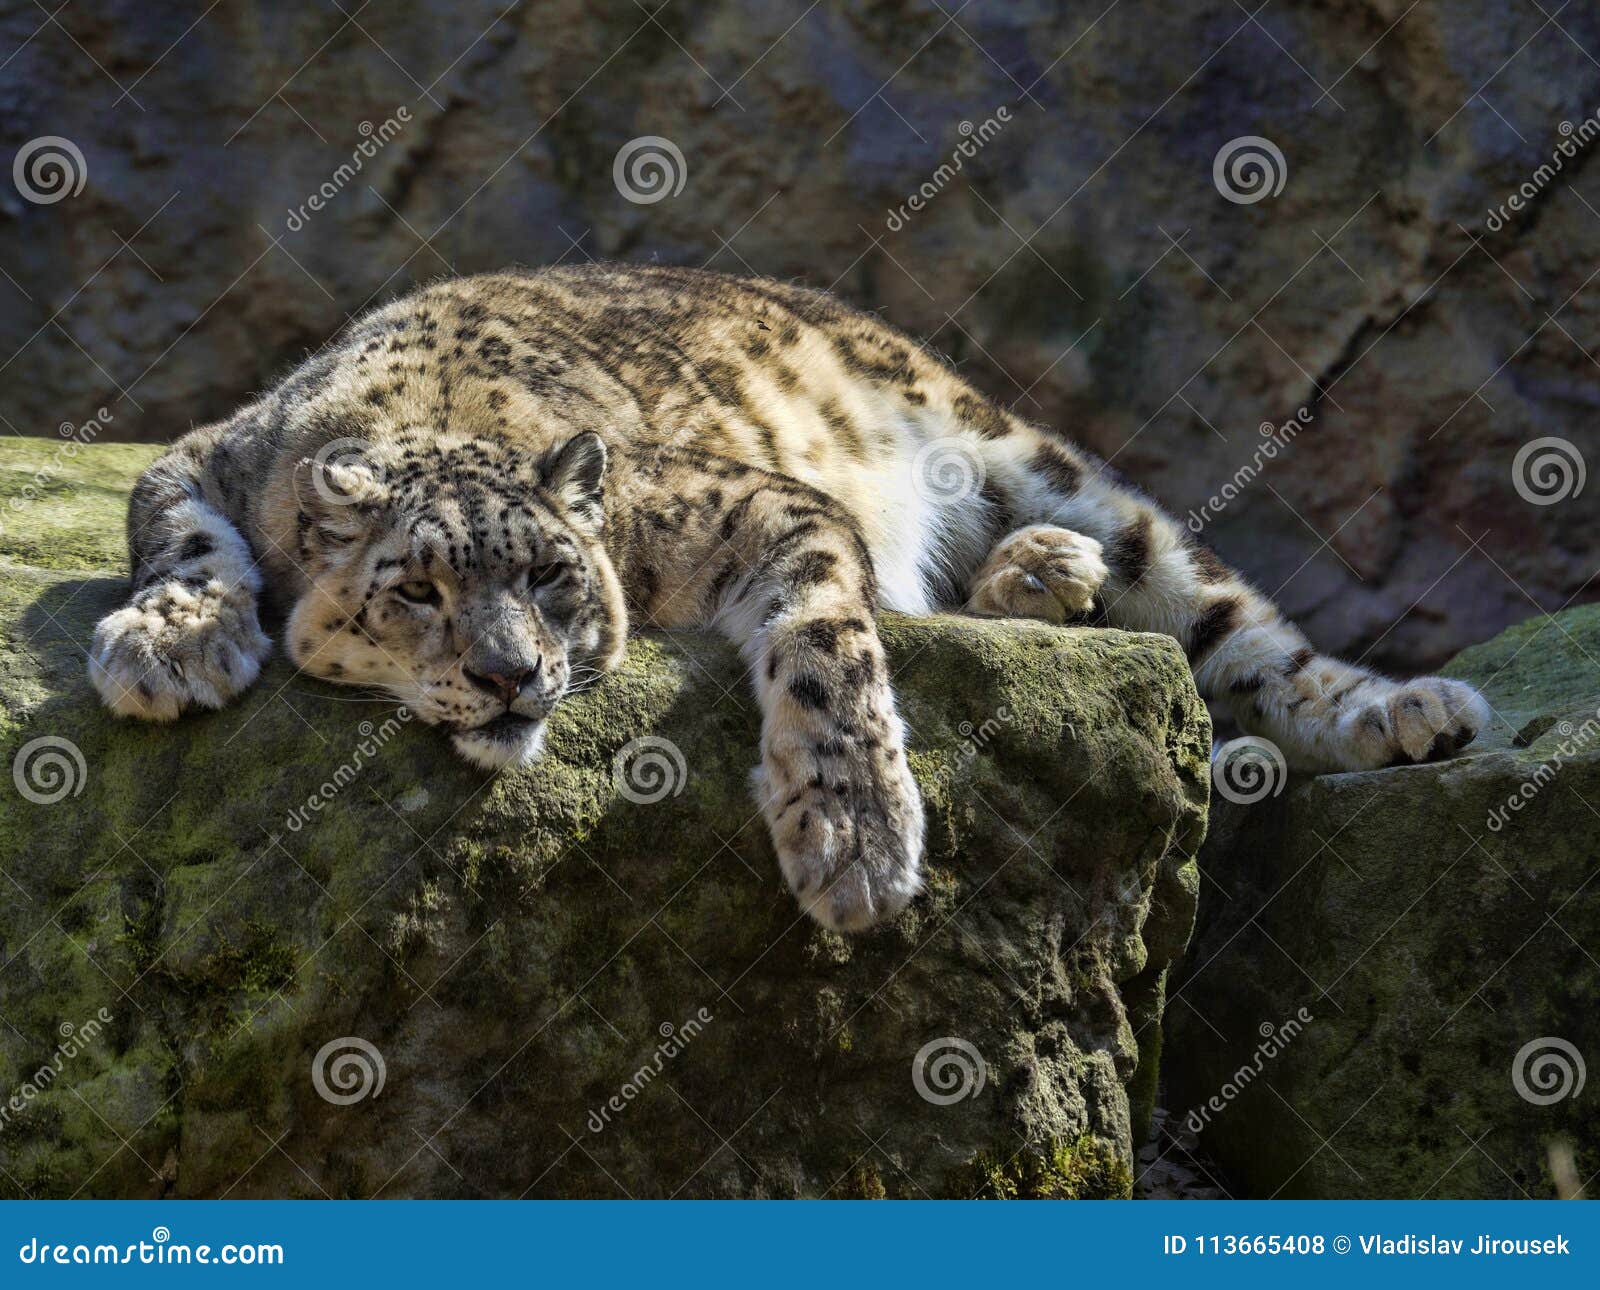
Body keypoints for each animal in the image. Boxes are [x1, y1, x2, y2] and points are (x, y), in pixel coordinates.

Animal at [88, 264, 1490, 932]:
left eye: (549, 576)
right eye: (417, 590)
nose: (509, 676)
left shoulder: (758, 505)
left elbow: (828, 642)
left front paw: (855, 841)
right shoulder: (204, 453)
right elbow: (180, 532)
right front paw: (173, 645)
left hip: (1031, 455)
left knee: (1229, 622)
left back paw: (1404, 711)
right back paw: (1038, 574)